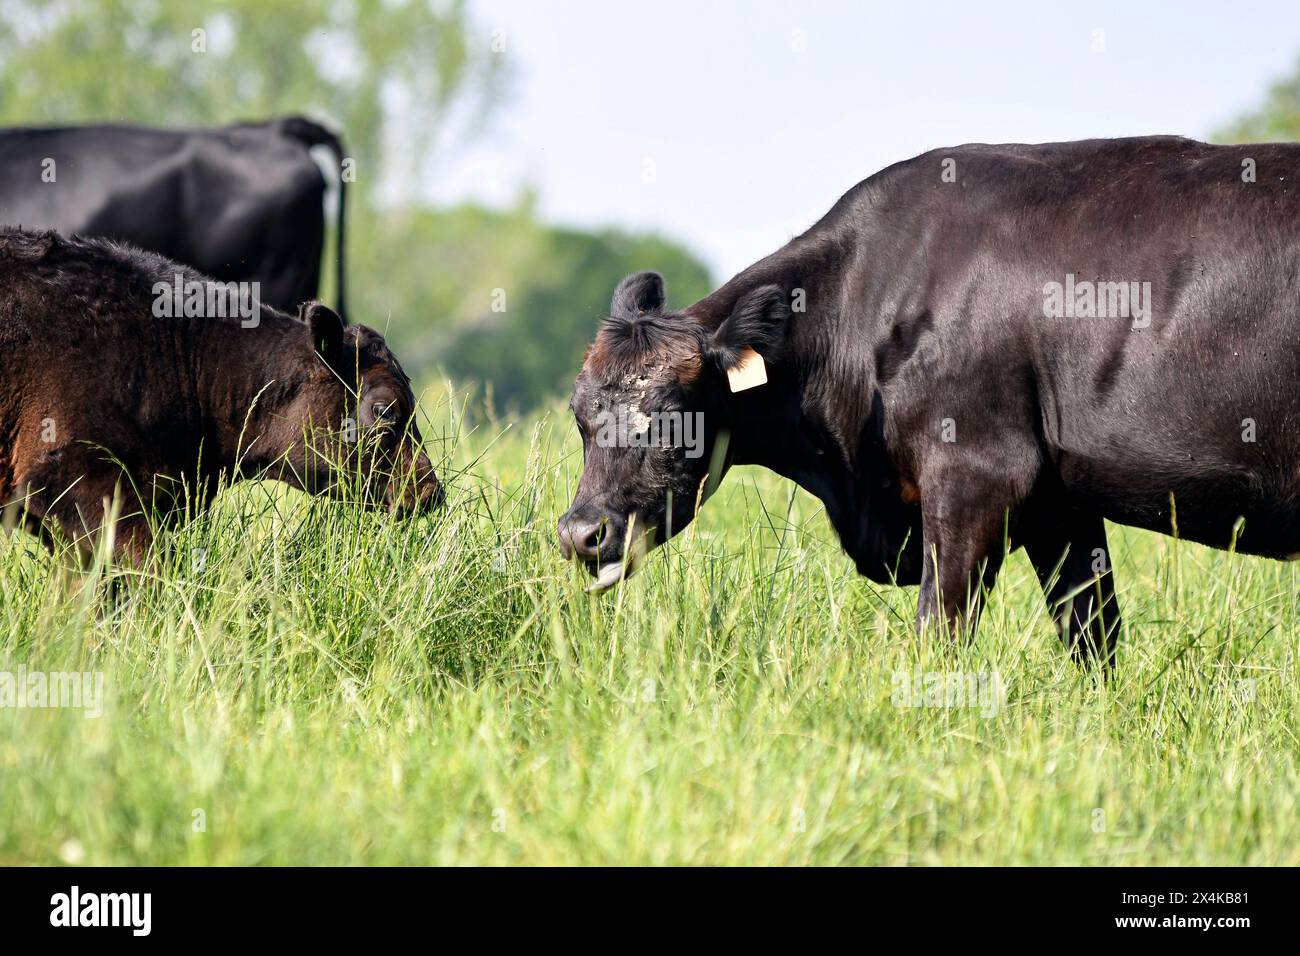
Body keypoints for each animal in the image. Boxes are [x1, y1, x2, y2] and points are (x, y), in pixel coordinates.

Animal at [558, 135, 1300, 667]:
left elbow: (939, 631)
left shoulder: (977, 475)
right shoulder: (1059, 502)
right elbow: (1093, 635)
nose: (579, 532)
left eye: (671, 420)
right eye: (580, 418)